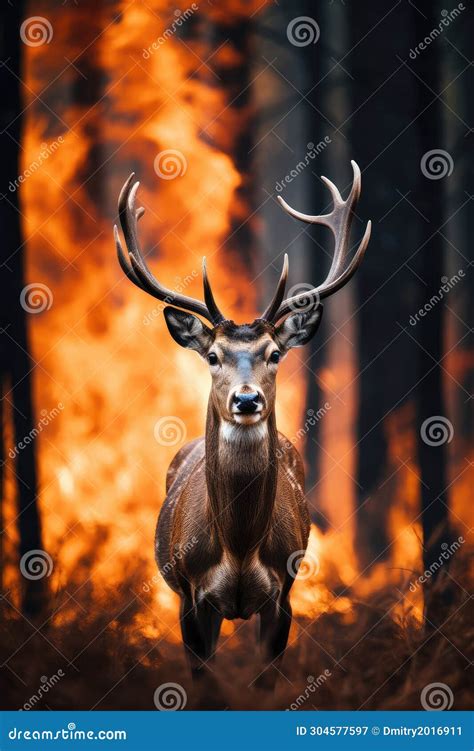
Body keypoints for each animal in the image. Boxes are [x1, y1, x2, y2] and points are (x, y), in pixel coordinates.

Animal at [114, 161, 371, 683]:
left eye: (274, 354)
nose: (247, 398)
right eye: (213, 356)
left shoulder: (284, 594)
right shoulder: (190, 596)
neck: (237, 547)